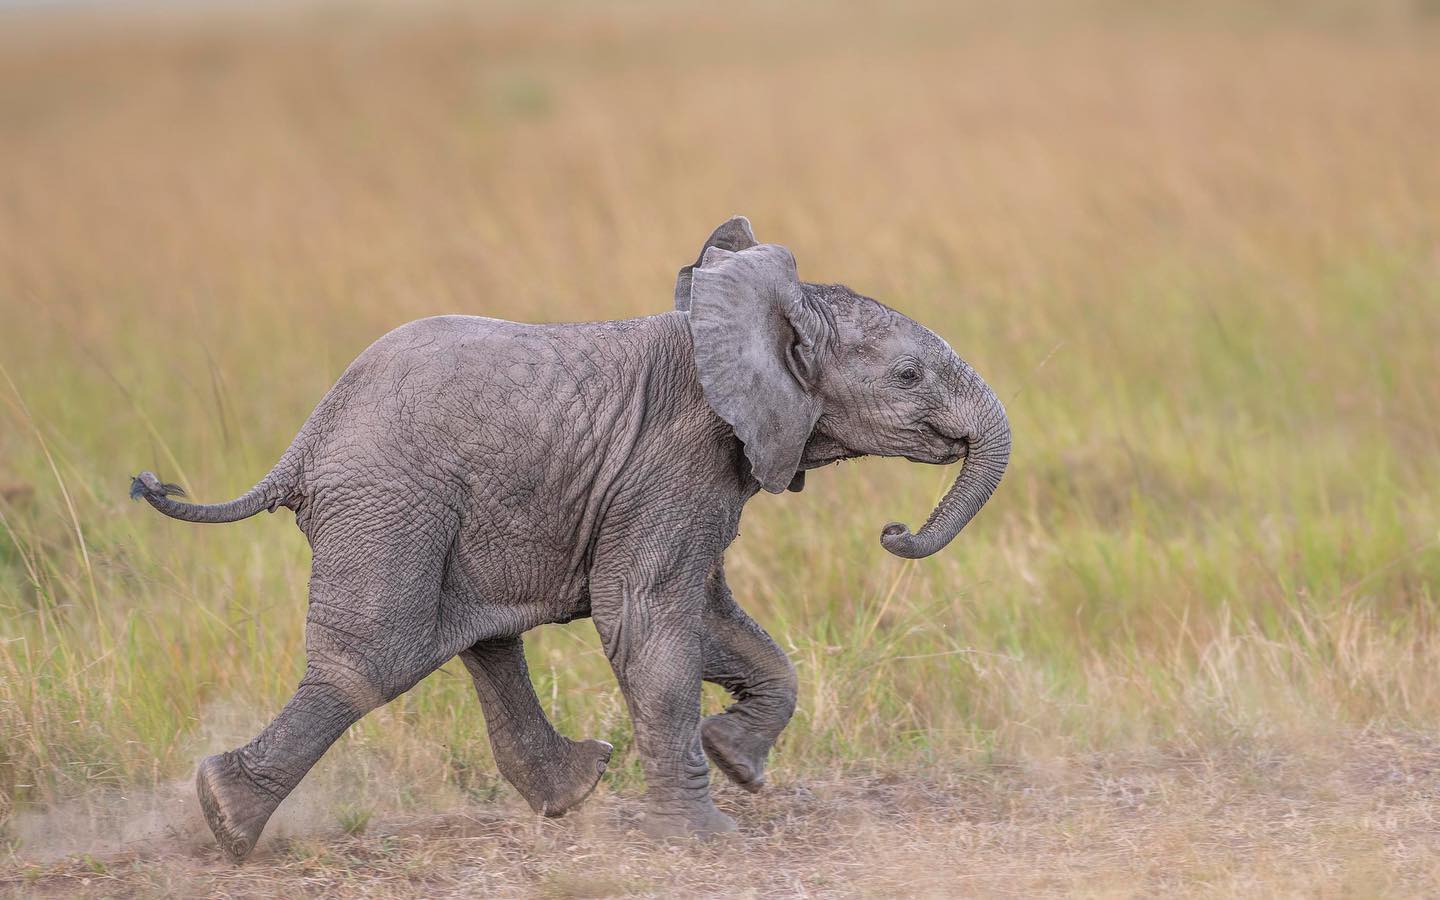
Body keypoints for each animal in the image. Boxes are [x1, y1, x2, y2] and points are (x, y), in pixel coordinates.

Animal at [129, 216, 1011, 860]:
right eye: (907, 376)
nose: (894, 531)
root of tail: (304, 444)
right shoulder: (676, 461)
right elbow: (646, 616)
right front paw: (706, 838)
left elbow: (709, 620)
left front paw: (737, 762)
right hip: (391, 501)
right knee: (376, 657)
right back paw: (225, 821)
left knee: (478, 641)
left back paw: (573, 791)